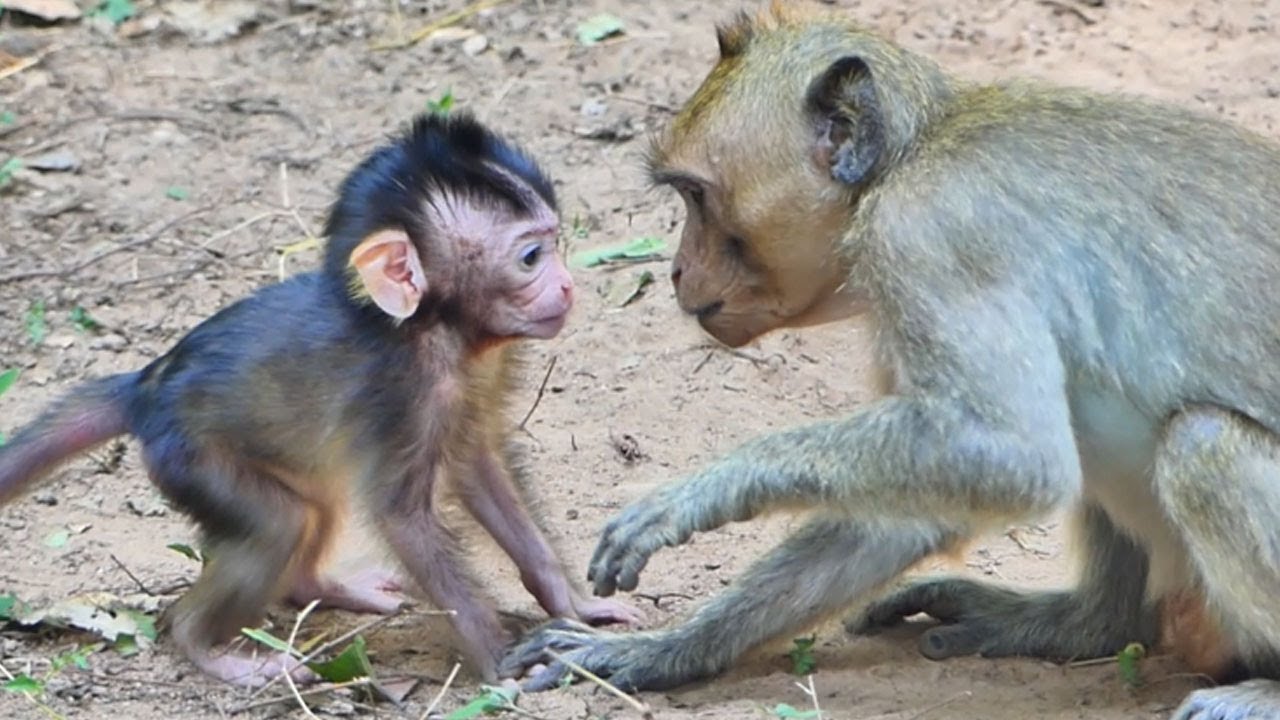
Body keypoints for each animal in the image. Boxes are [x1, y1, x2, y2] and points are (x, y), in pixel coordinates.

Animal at [0, 111, 640, 688]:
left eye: (556, 241)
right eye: (531, 257)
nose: (567, 285)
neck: (428, 328)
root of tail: (147, 385)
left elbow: (478, 466)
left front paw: (573, 605)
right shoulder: (401, 392)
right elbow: (402, 516)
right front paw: (502, 661)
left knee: (317, 504)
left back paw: (319, 588)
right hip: (188, 458)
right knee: (279, 524)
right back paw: (207, 647)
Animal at [499, 3, 1280, 719]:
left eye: (695, 196)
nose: (677, 272)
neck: (915, 149)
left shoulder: (928, 233)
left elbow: (1014, 456)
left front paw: (701, 494)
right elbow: (908, 508)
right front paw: (667, 648)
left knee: (1201, 444)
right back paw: (1087, 624)